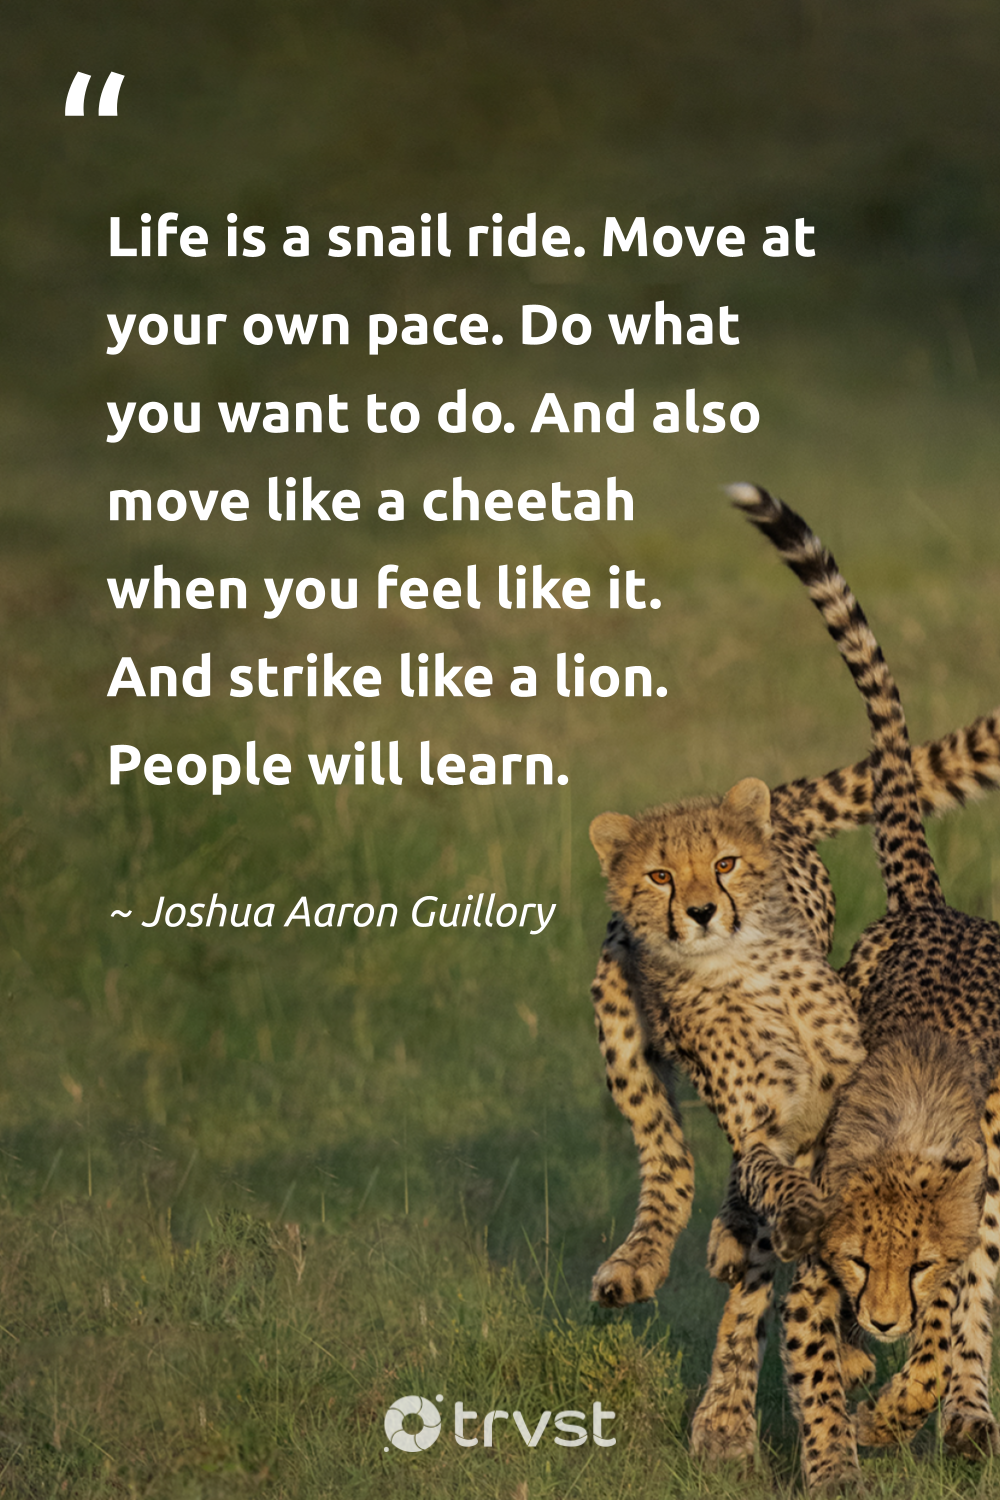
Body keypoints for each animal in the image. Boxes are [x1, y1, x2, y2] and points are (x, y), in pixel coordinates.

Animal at [731, 482, 1000, 1493]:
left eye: (913, 1266)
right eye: (854, 1258)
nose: (882, 1313)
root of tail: (930, 903)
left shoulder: (961, 1249)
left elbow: (941, 1342)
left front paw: (896, 1414)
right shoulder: (815, 1263)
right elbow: (812, 1359)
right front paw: (840, 1449)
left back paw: (957, 1412)